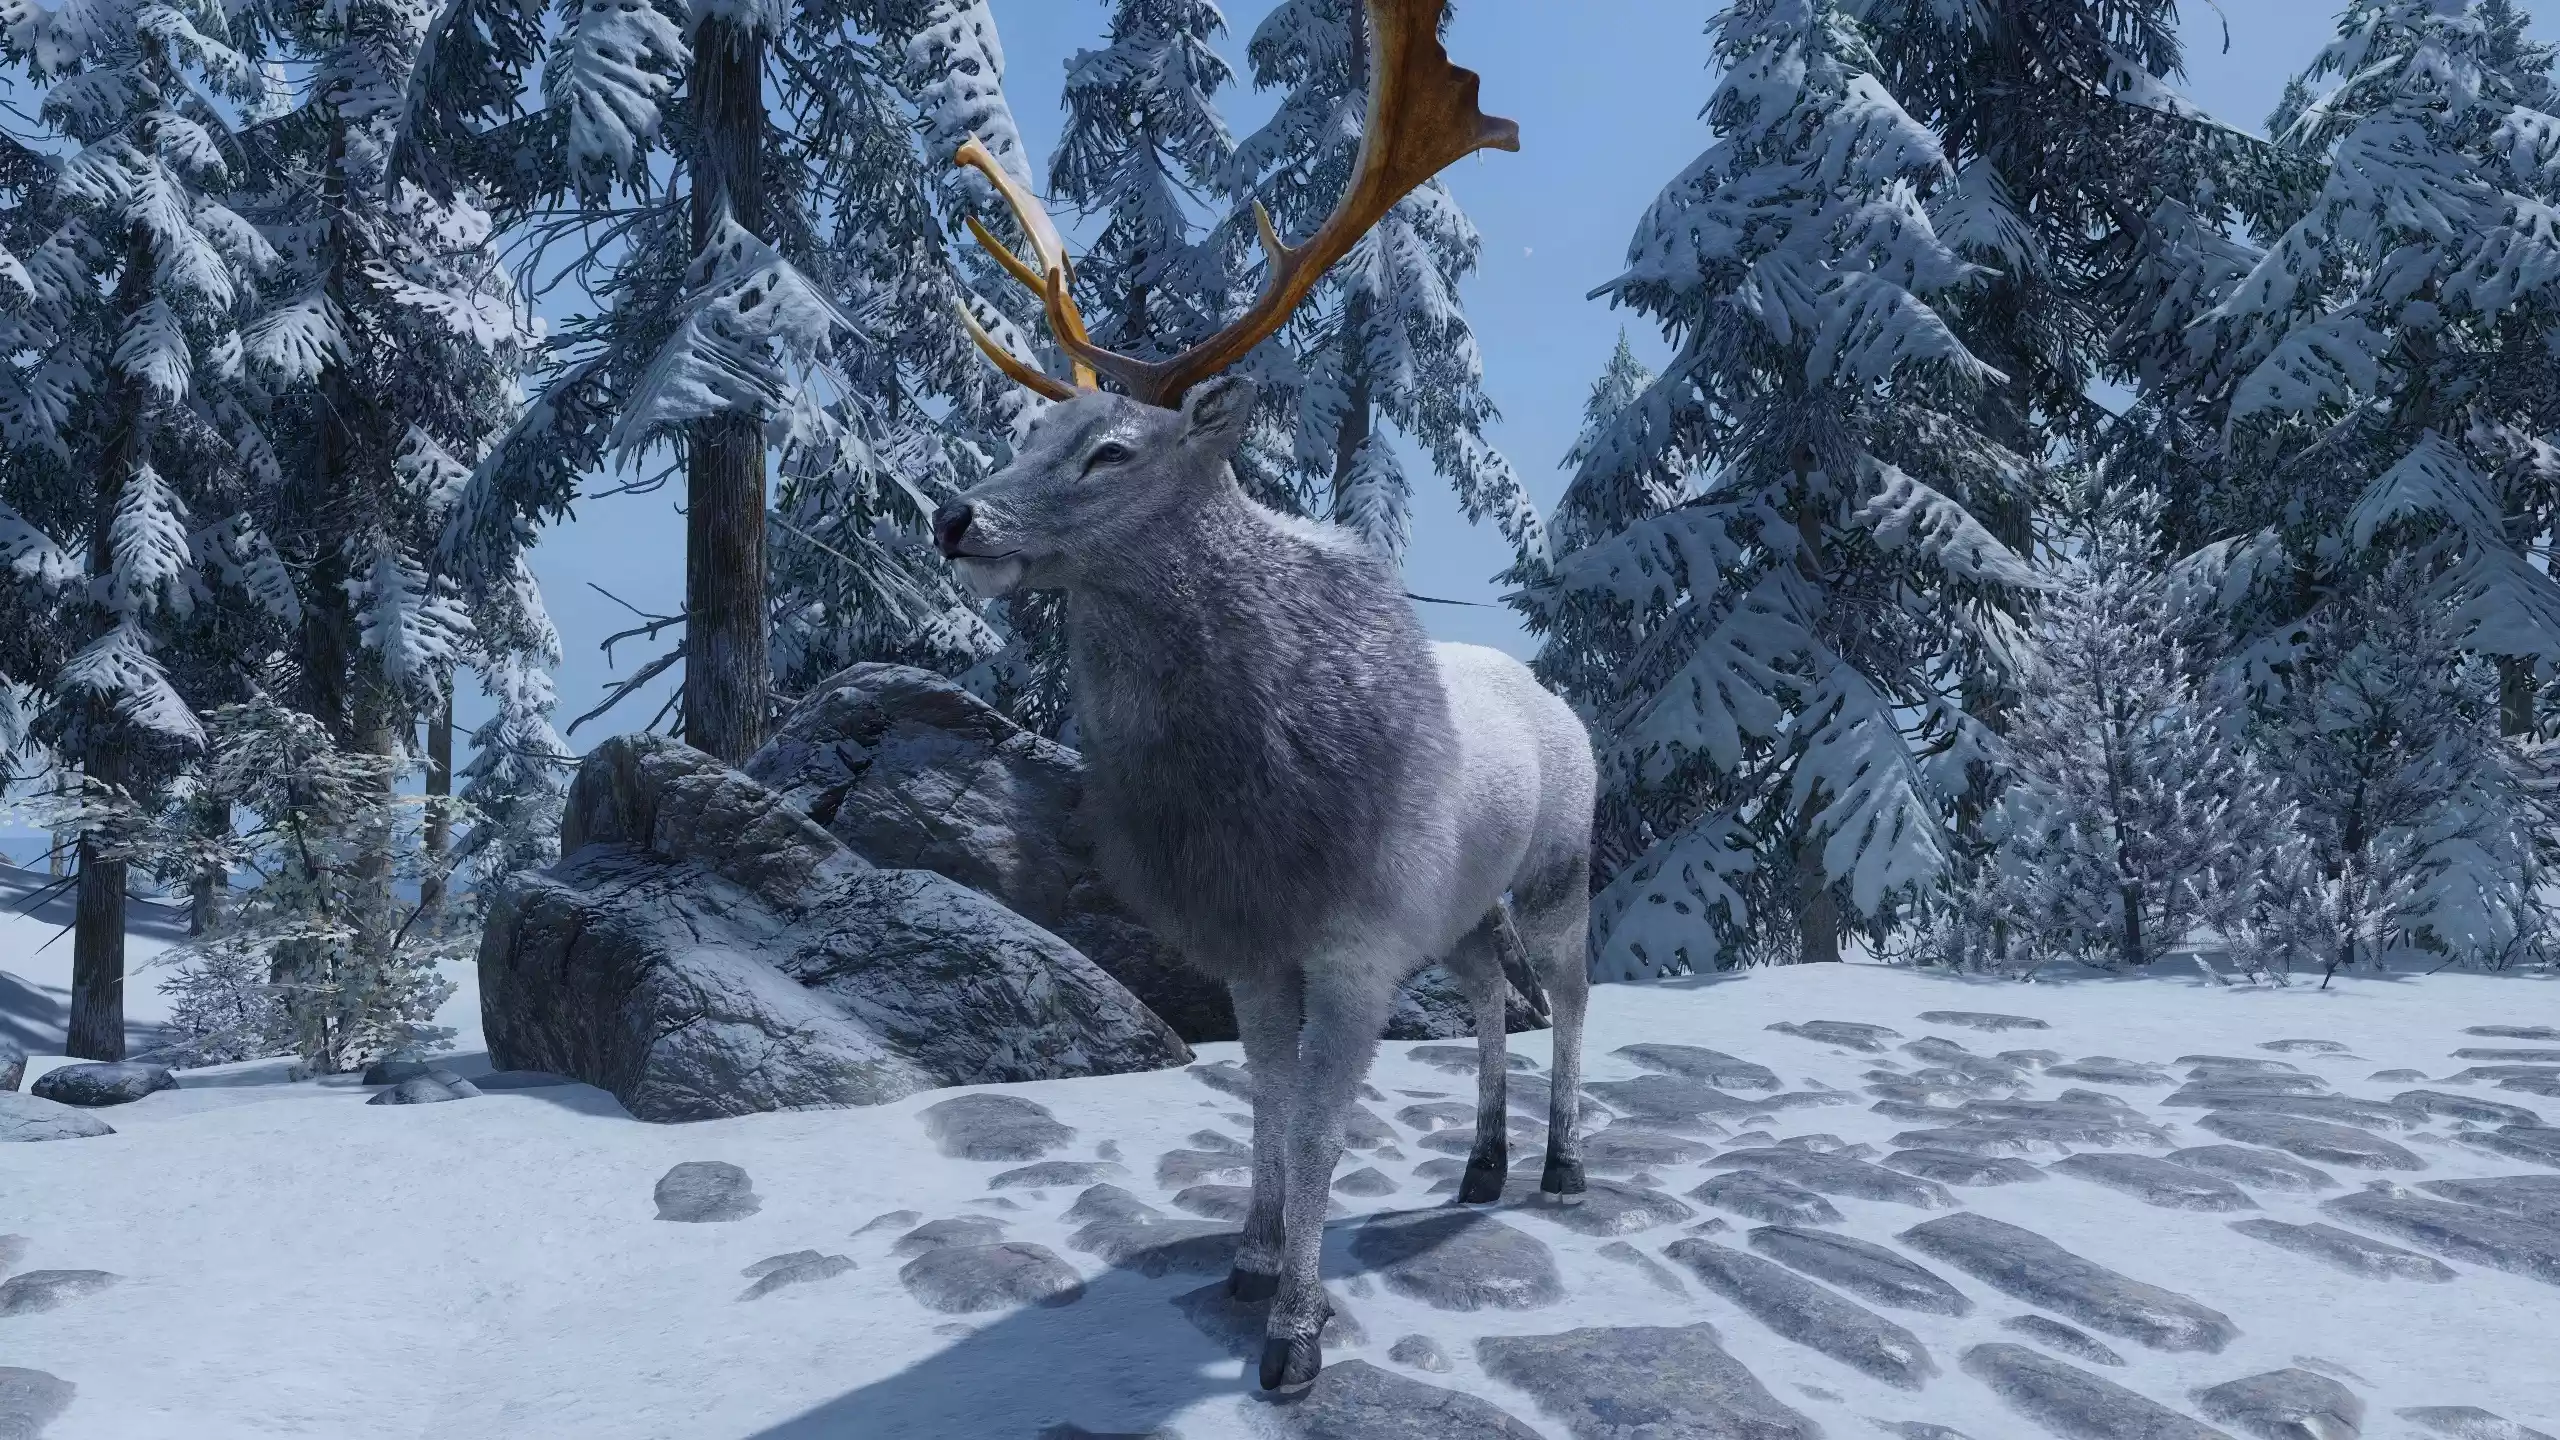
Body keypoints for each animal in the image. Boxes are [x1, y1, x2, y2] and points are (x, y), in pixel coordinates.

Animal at [928, 0, 1595, 1390]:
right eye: (1026, 433)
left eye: (1112, 451)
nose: (954, 518)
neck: (1244, 811)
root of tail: (1548, 690)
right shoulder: (1247, 940)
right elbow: (1267, 1105)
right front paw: (1244, 1263)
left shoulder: (1354, 935)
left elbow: (1324, 1124)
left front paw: (1294, 1334)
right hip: (1458, 904)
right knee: (1486, 1000)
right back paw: (1481, 1164)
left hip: (1562, 863)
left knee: (1565, 992)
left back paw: (1562, 1165)